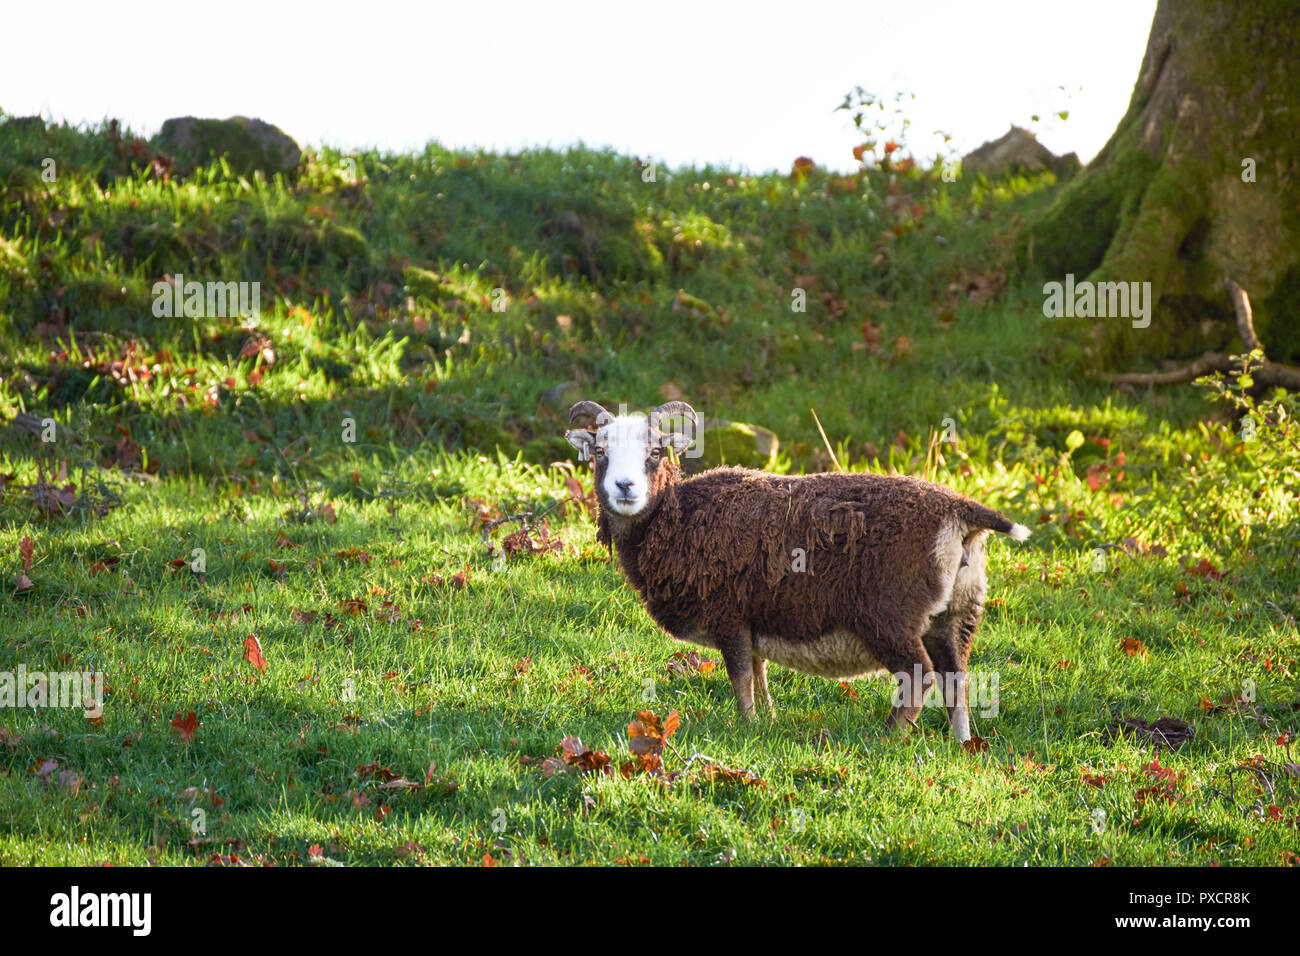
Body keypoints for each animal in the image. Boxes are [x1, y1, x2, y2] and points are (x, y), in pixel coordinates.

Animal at [564, 399, 1030, 742]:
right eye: (600, 452)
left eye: (655, 452)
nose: (625, 488)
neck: (675, 518)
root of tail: (959, 512)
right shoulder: (751, 621)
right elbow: (758, 675)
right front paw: (768, 721)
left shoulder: (728, 615)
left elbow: (740, 680)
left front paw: (748, 728)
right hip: (958, 615)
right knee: (957, 681)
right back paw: (961, 744)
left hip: (889, 616)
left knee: (921, 676)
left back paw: (886, 738)